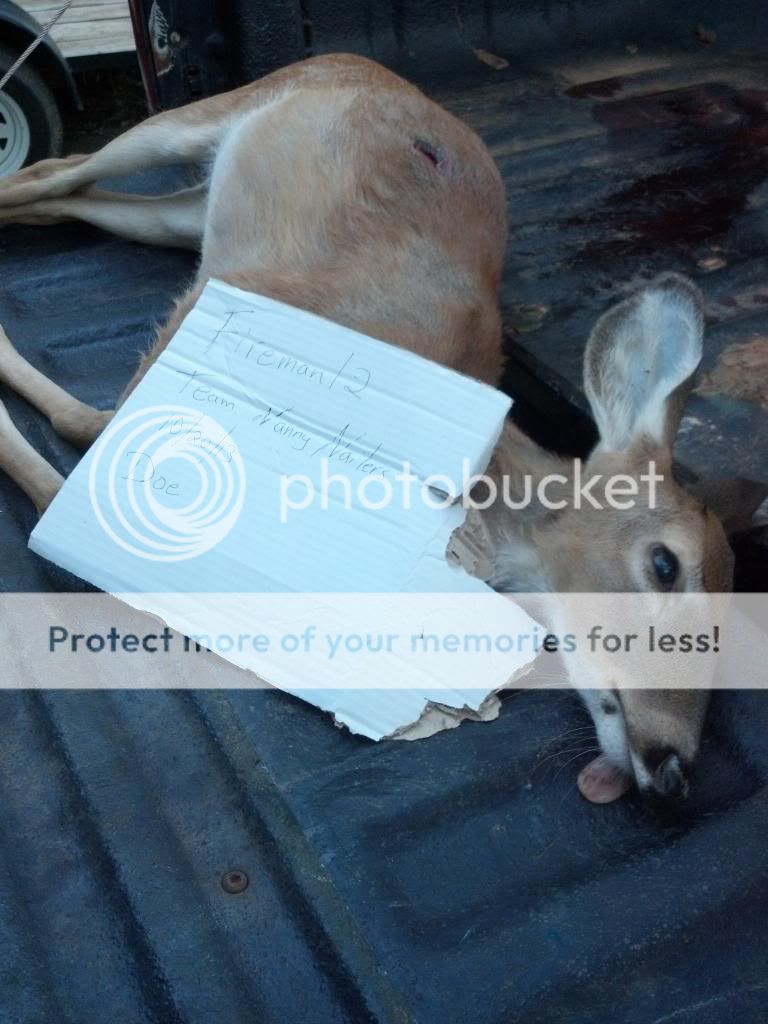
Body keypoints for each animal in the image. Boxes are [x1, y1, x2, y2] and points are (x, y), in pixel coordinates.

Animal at [0, 53, 759, 805]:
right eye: (665, 564)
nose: (672, 768)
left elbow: (85, 426)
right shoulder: (225, 312)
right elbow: (83, 440)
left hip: (187, 213)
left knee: (73, 197)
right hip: (190, 125)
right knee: (51, 170)